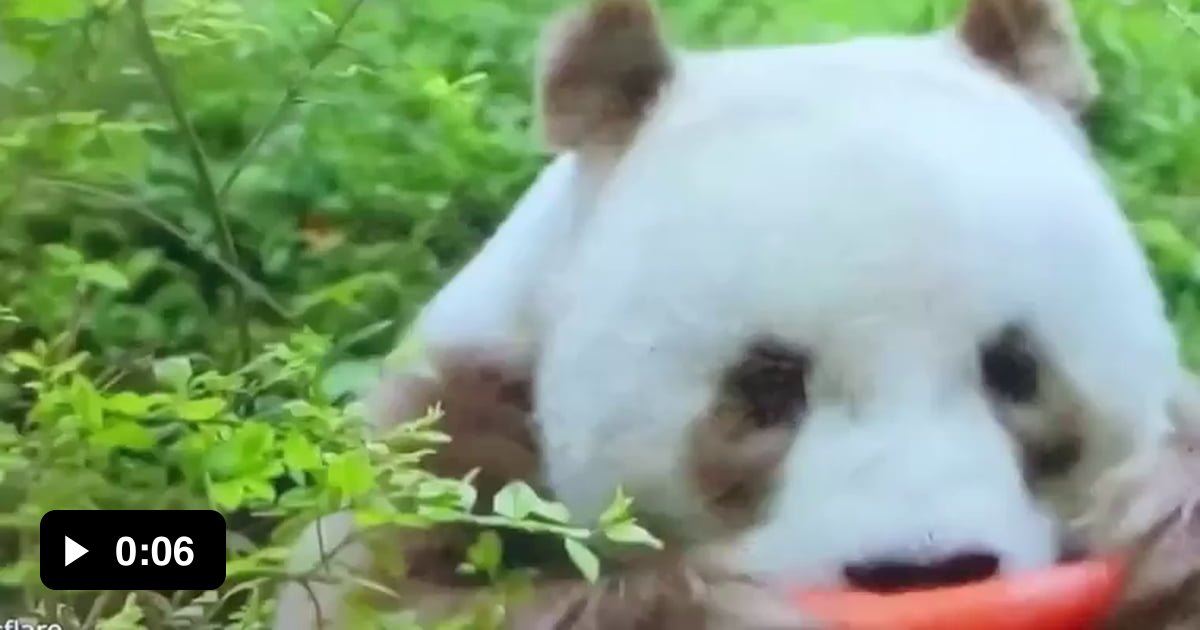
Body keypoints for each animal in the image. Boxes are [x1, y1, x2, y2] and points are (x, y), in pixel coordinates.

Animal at [275, 0, 1200, 627]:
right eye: (768, 385)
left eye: (1015, 369)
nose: (922, 573)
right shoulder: (450, 427)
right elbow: (378, 596)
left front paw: (1166, 530)